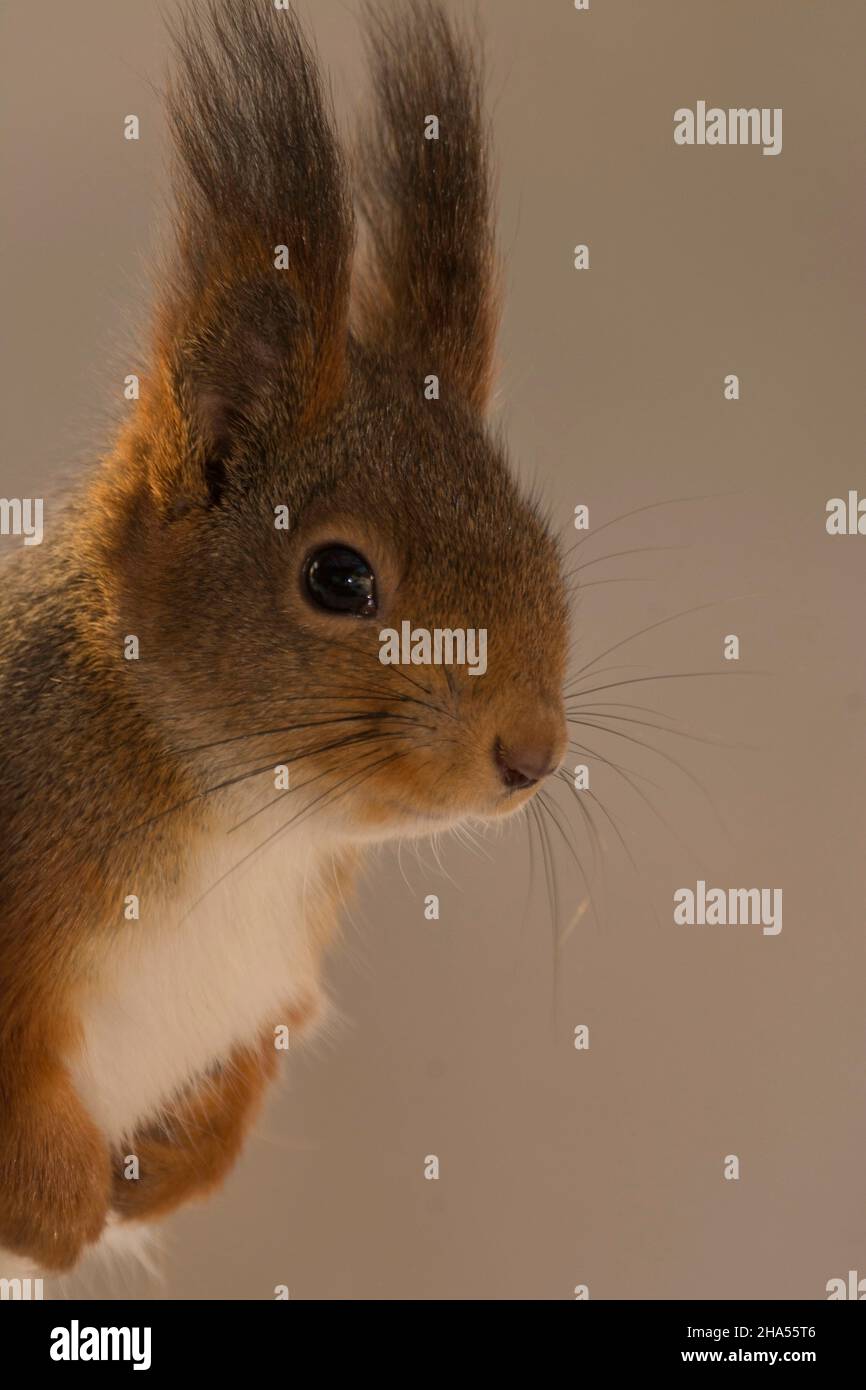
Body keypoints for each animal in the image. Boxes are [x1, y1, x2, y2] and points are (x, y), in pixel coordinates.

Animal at [0, 0, 569, 1273]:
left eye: (538, 536)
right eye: (337, 576)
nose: (531, 755)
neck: (248, 825)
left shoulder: (272, 986)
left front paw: (167, 1171)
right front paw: (57, 1202)